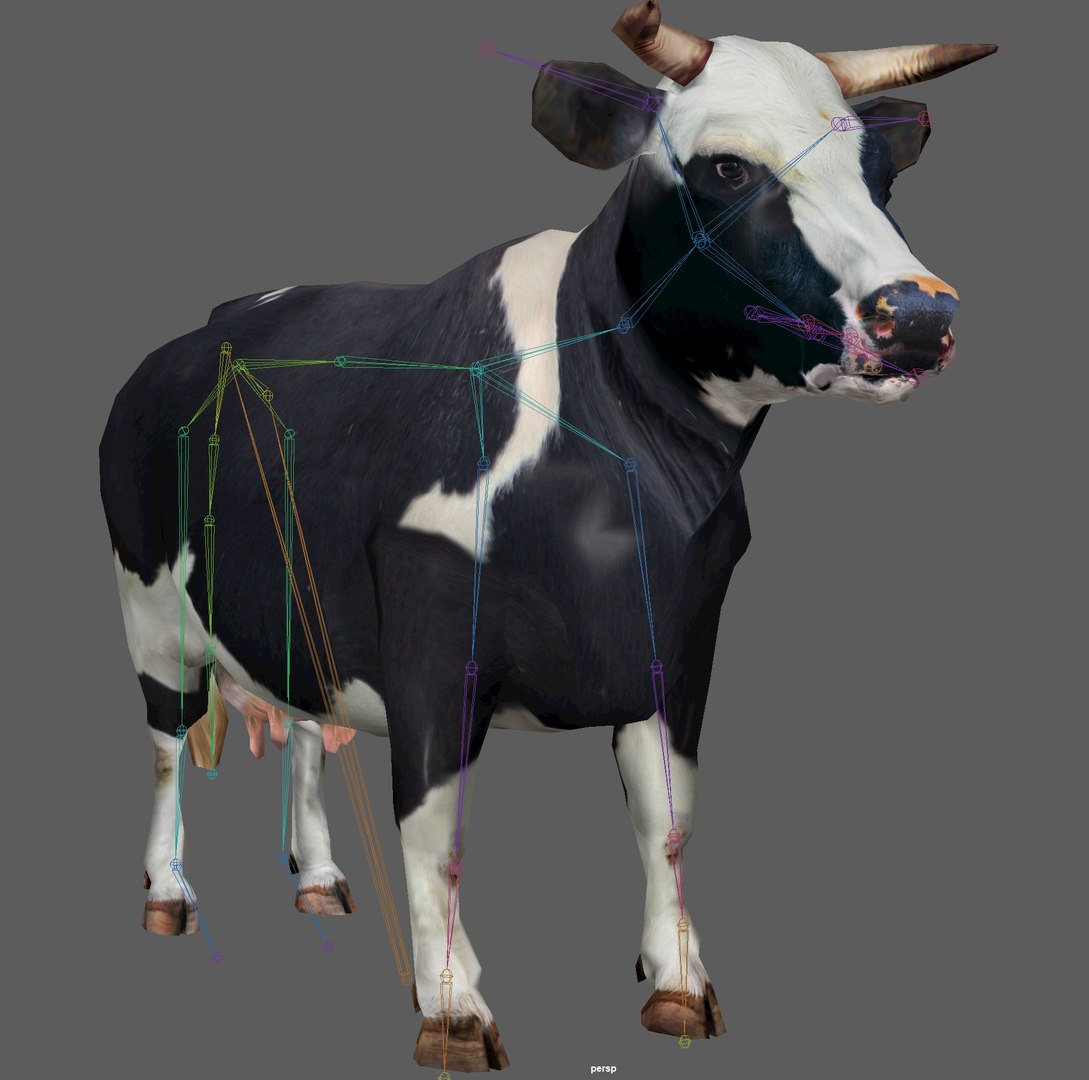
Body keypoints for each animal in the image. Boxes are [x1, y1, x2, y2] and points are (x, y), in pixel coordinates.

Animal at [99, 2, 996, 1072]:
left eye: (880, 174)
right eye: (727, 168)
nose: (921, 316)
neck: (619, 471)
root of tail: (186, 341)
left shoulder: (678, 641)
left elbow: (668, 818)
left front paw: (678, 980)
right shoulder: (431, 649)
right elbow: (435, 833)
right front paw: (450, 1003)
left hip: (294, 602)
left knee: (308, 727)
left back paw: (316, 879)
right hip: (150, 612)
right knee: (164, 747)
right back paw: (167, 893)